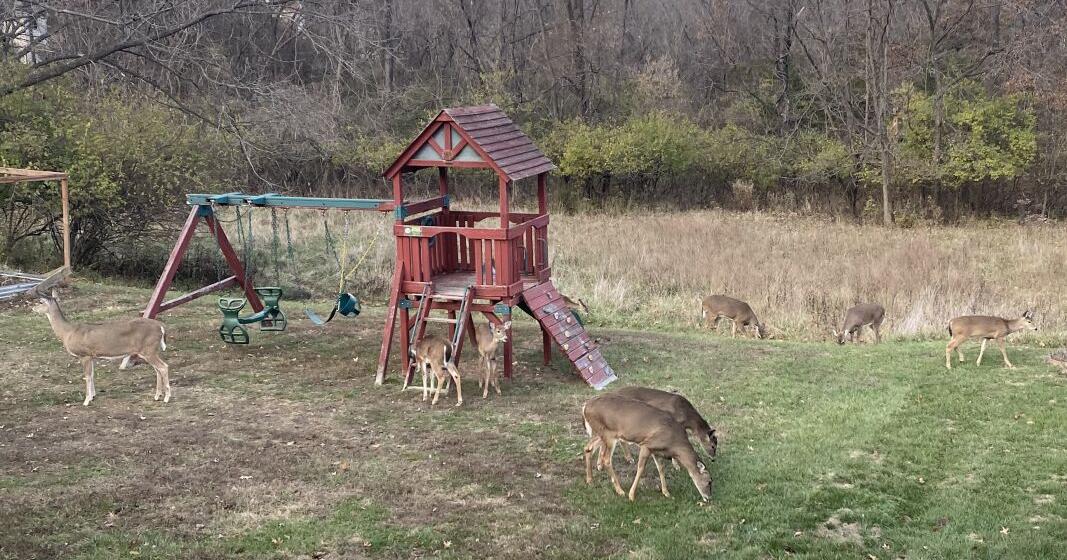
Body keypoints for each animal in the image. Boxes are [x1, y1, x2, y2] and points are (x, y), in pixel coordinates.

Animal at [33, 288, 170, 406]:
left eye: (40, 302)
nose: (33, 308)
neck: (67, 332)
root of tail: (161, 327)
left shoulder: (84, 355)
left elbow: (87, 376)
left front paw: (86, 400)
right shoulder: (92, 356)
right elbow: (92, 375)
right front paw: (93, 396)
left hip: (148, 349)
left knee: (163, 367)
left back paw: (166, 398)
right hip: (150, 350)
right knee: (158, 369)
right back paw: (157, 396)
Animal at [582, 394, 712, 502]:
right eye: (709, 481)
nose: (708, 498)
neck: (674, 443)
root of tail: (585, 407)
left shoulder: (657, 451)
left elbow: (661, 468)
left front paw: (666, 492)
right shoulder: (647, 445)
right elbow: (641, 468)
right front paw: (631, 495)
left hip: (602, 433)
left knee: (588, 447)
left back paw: (589, 480)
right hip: (609, 434)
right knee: (606, 459)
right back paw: (620, 491)